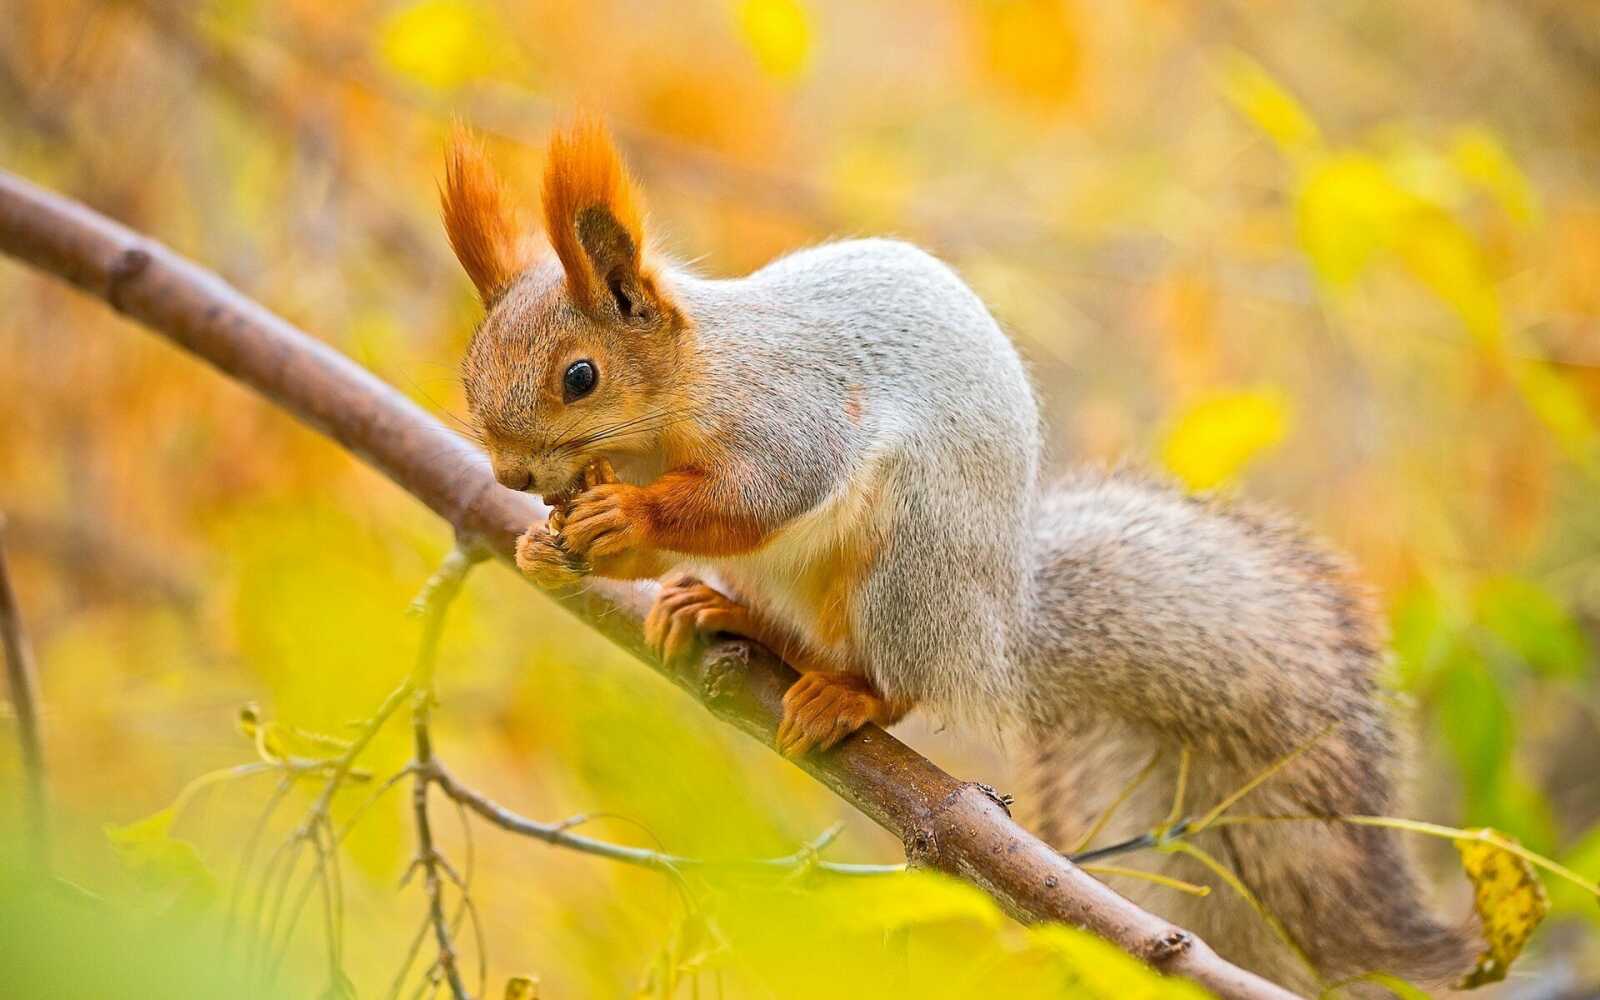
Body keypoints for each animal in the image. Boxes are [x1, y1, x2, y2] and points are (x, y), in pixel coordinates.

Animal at [441, 118, 1472, 992]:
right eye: (470, 370)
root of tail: (995, 633)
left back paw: (847, 695)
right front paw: (541, 544)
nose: (510, 472)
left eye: (581, 377)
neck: (670, 407)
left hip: (910, 561)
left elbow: (761, 495)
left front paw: (625, 516)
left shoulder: (787, 413)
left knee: (902, 678)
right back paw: (719, 611)